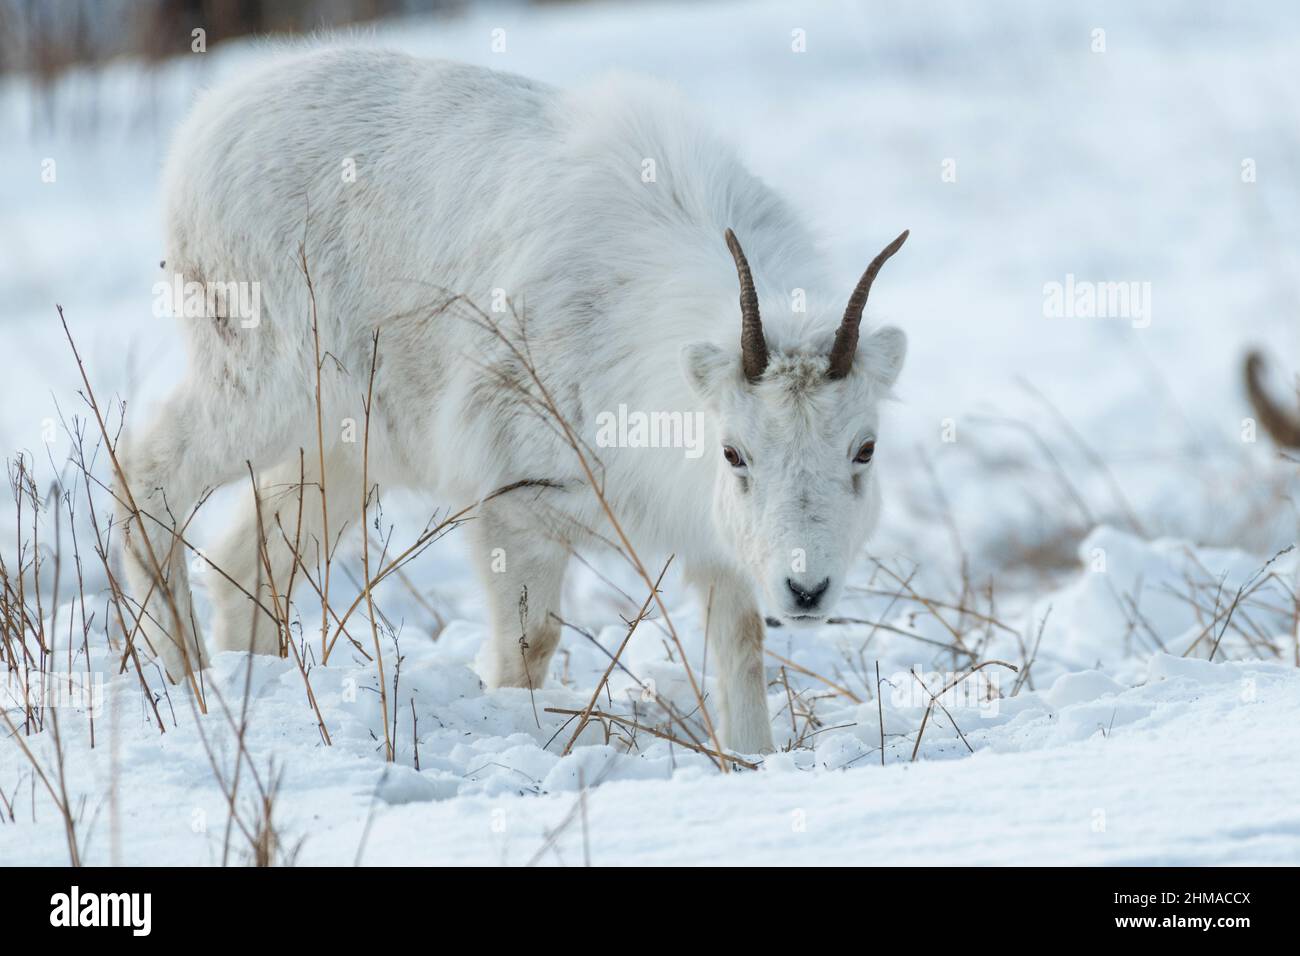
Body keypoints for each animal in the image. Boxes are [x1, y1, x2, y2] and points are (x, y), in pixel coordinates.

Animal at [117, 47, 909, 755]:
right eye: (735, 451)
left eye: (865, 448)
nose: (806, 591)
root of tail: (202, 129)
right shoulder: (513, 504)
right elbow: (530, 650)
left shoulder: (712, 546)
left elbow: (741, 653)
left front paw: (755, 760)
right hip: (263, 391)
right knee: (146, 475)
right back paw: (189, 684)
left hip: (344, 451)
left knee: (250, 558)